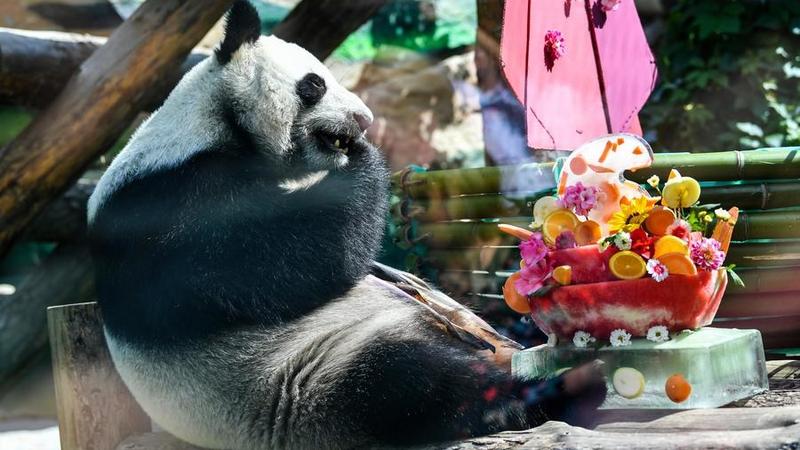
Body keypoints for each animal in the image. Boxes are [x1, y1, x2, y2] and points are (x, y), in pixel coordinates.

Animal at [87, 2, 605, 449]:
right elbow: (288, 256)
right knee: (405, 382)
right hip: (296, 379)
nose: (364, 118)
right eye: (314, 83)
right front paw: (362, 156)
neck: (214, 123)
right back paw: (550, 386)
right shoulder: (169, 205)